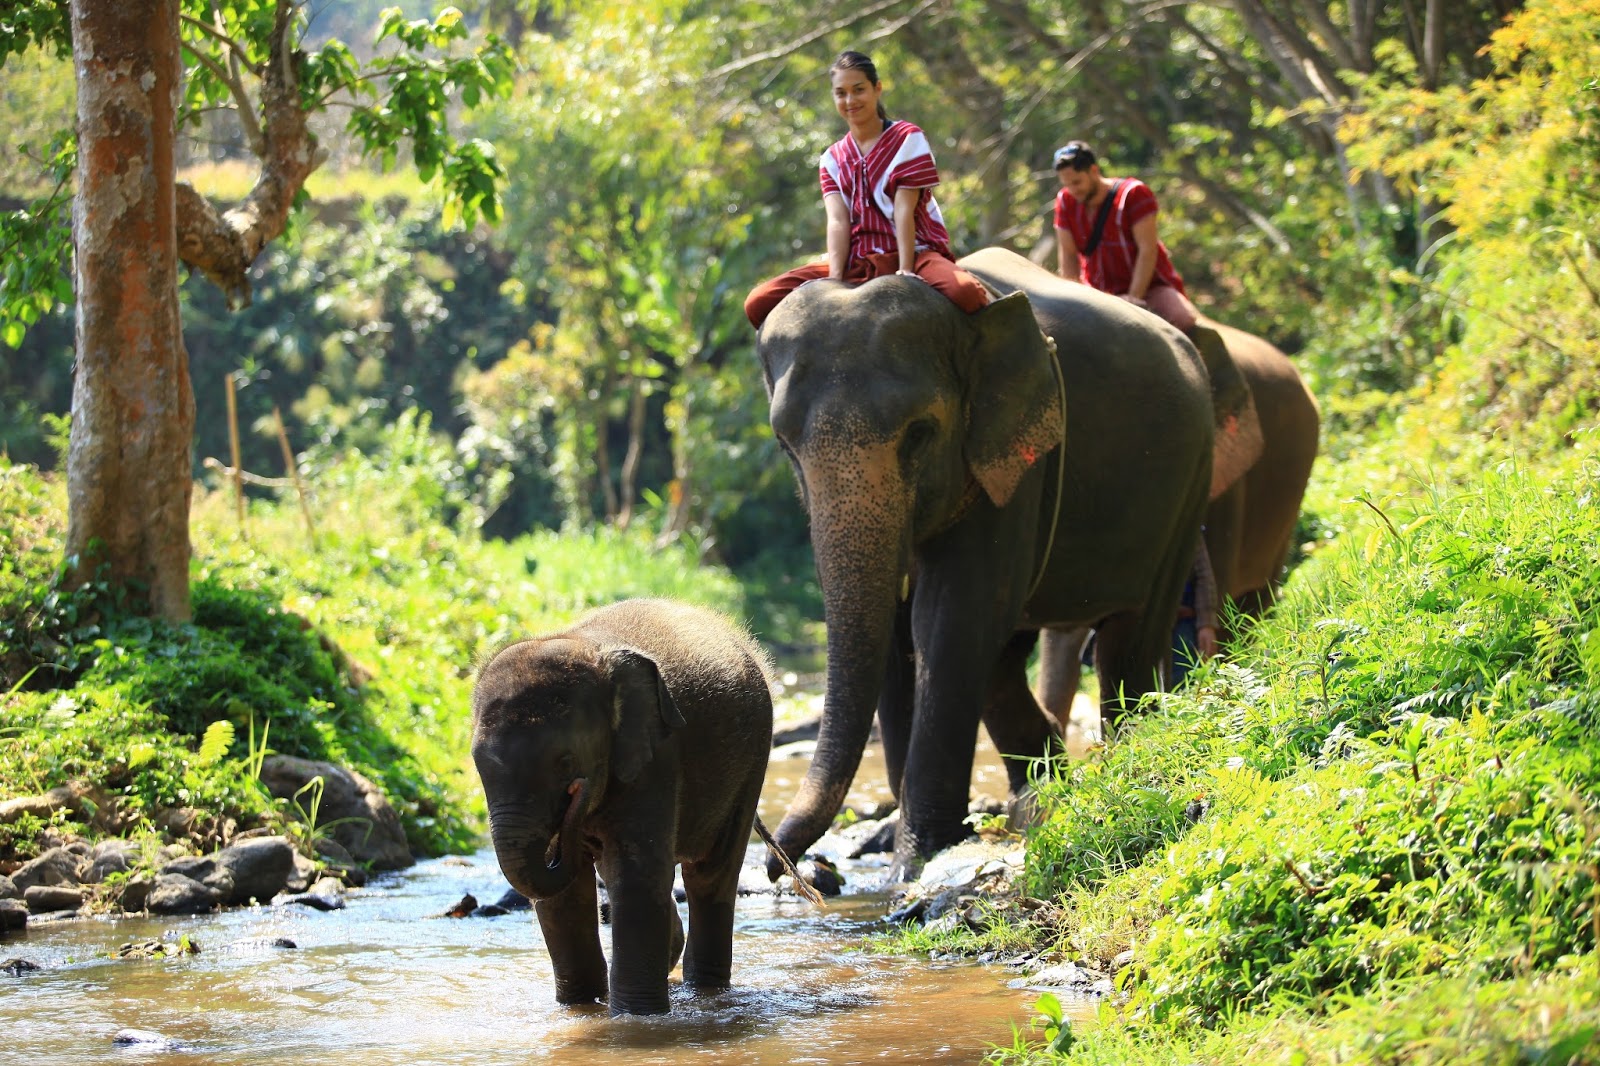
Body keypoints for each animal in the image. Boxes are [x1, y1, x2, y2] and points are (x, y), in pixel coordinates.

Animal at [471, 598, 772, 1015]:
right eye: (478, 764)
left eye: (565, 762)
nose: (577, 792)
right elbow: (563, 896)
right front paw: (580, 1008)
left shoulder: (655, 759)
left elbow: (636, 876)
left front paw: (636, 1017)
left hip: (751, 761)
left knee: (710, 875)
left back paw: (705, 990)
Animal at [757, 245, 1214, 879]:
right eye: (785, 444)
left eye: (919, 433)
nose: (779, 867)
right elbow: (899, 638)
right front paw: (907, 846)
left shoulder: (1015, 466)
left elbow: (948, 625)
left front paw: (913, 864)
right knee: (1004, 658)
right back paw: (1042, 797)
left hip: (1190, 484)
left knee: (1129, 639)